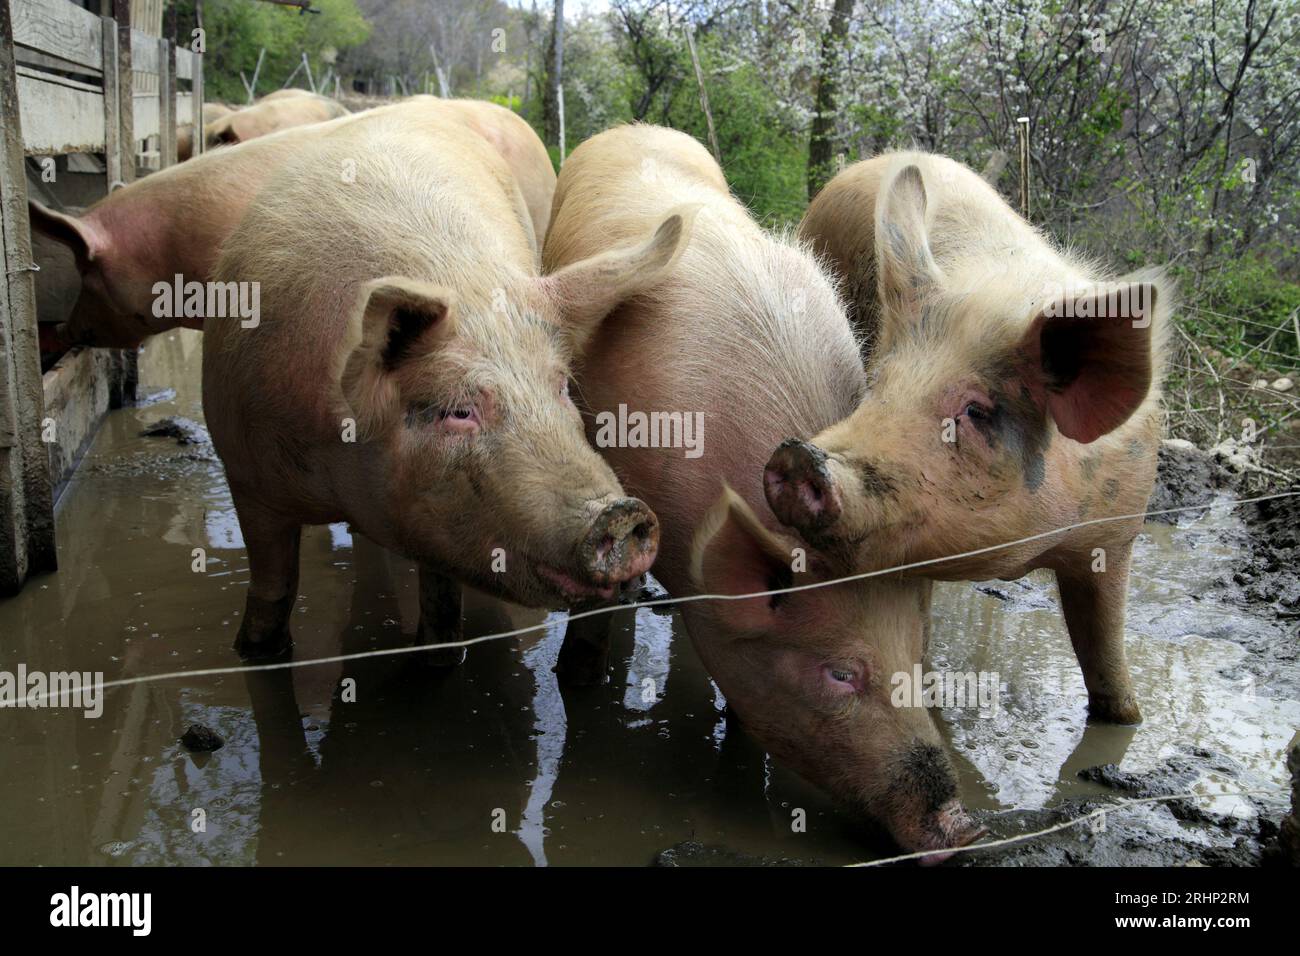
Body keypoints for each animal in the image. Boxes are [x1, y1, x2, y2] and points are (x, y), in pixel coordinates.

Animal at [203, 106, 680, 667]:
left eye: (562, 386)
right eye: (457, 410)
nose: (619, 513)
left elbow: (441, 614)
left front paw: (437, 661)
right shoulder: (243, 470)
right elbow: (272, 590)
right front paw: (254, 650)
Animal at [765, 152, 1172, 725]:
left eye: (975, 412)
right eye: (879, 384)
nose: (800, 455)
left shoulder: (1118, 533)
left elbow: (1108, 659)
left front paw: (1128, 718)